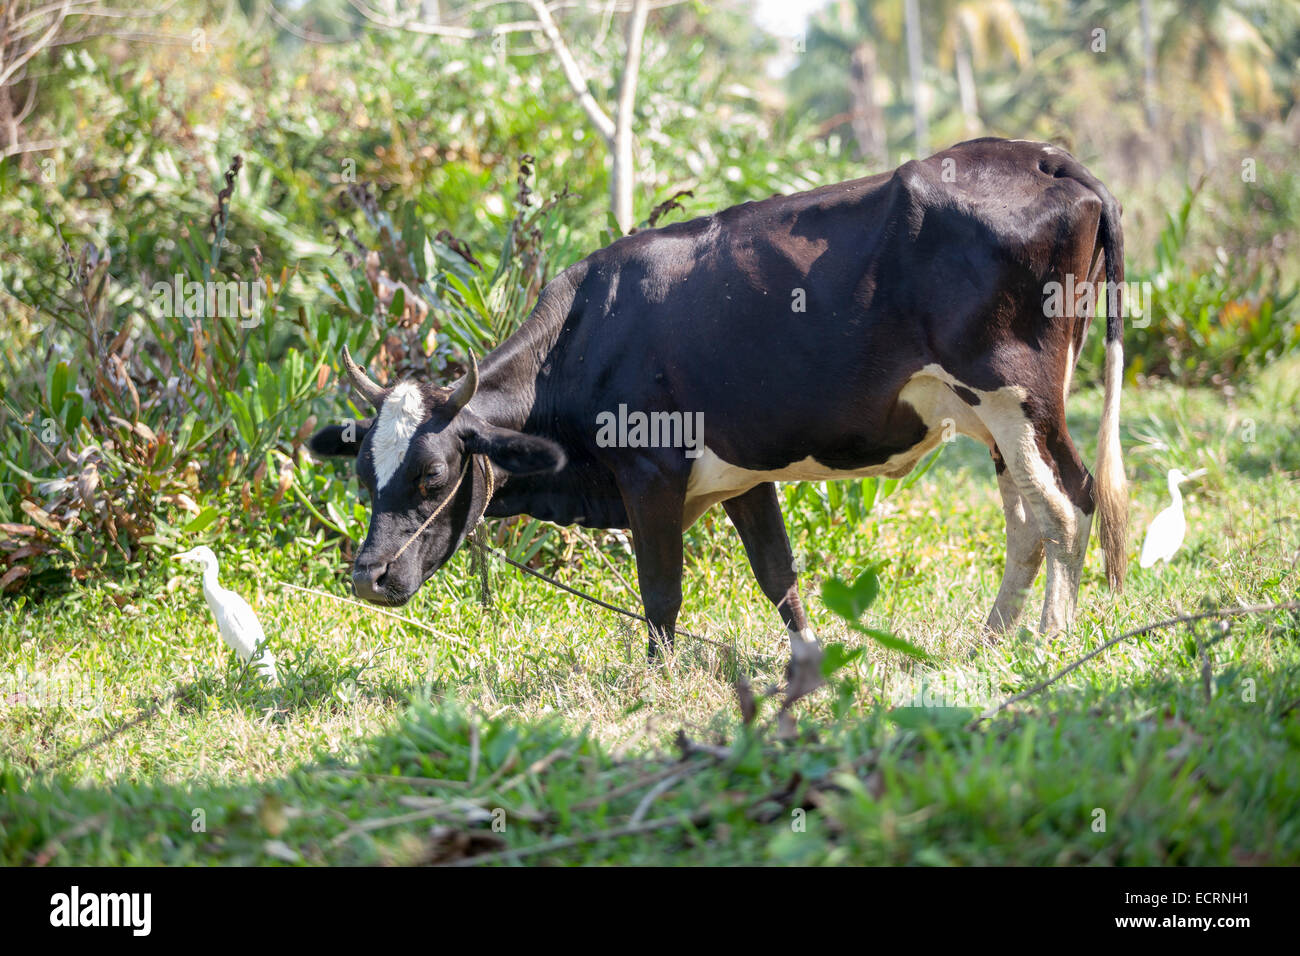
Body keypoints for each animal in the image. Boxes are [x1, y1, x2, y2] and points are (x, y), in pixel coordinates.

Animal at [309, 137, 1128, 683]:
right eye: (363, 477)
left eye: (432, 476)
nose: (368, 578)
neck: (585, 334)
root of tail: (1046, 159)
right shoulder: (744, 476)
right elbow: (778, 576)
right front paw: (807, 663)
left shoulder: (650, 472)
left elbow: (661, 593)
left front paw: (657, 677)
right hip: (991, 417)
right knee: (1026, 523)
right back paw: (987, 643)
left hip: (1019, 398)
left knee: (1066, 508)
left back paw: (1050, 644)